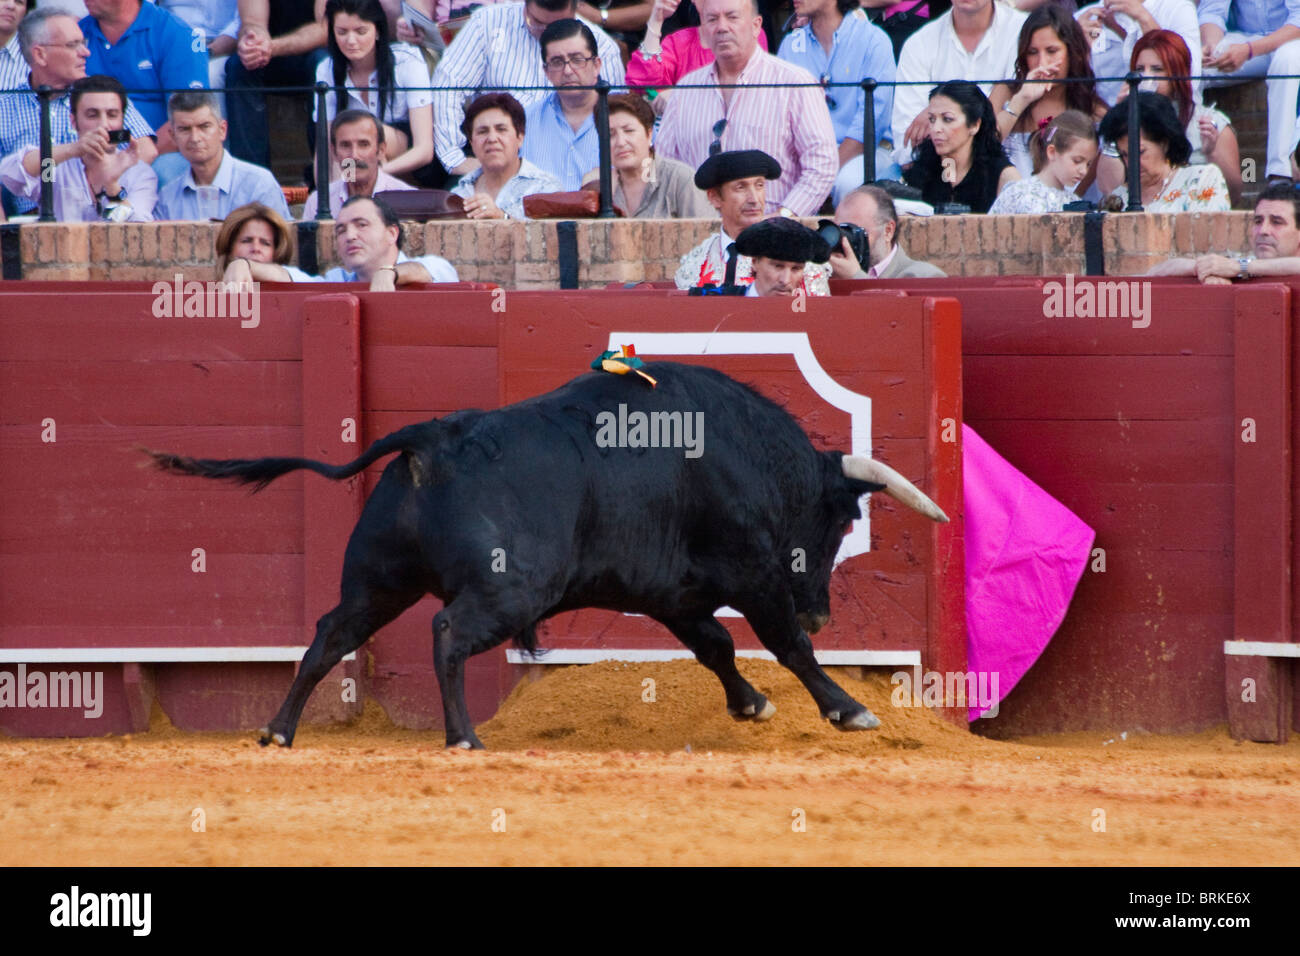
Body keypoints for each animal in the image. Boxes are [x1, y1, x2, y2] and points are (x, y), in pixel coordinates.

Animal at [146, 361, 948, 749]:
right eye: (842, 519)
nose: (822, 612)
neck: (748, 458)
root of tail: (431, 437)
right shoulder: (752, 575)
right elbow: (783, 647)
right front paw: (849, 711)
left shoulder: (674, 593)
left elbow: (716, 646)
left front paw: (750, 704)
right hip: (511, 591)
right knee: (446, 634)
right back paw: (463, 737)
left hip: (379, 581)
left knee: (329, 635)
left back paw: (277, 731)